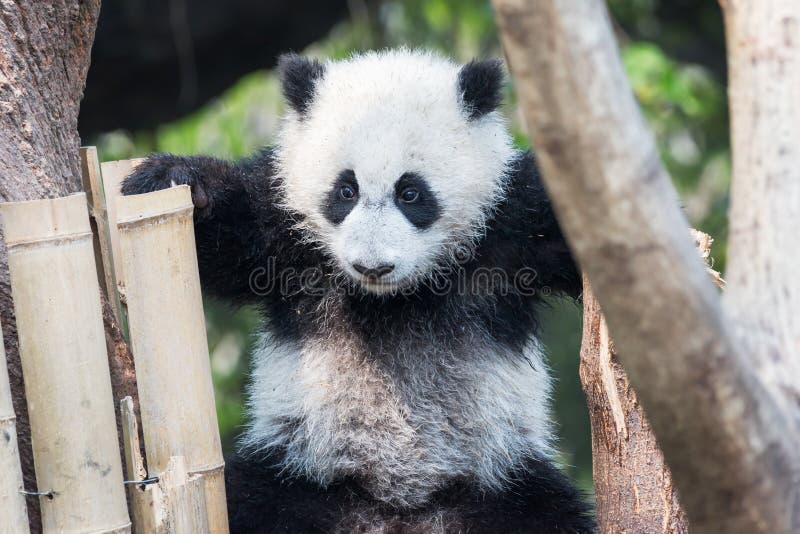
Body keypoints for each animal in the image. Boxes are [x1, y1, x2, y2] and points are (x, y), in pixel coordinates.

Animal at [122, 49, 595, 533]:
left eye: (410, 193)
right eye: (345, 190)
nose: (372, 266)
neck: (393, 298)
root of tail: (397, 512)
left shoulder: (511, 226)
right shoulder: (281, 231)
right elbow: (227, 237)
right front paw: (172, 177)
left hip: (496, 475)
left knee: (545, 512)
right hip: (301, 469)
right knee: (252, 498)